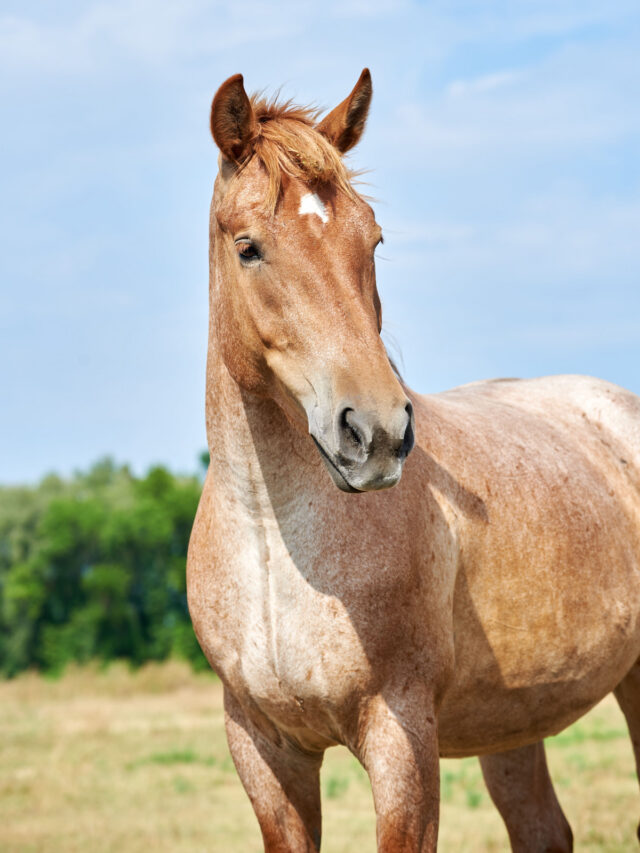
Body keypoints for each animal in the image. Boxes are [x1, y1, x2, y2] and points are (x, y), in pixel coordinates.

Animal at [187, 69, 640, 851]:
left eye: (372, 238)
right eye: (248, 247)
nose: (376, 431)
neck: (275, 545)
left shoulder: (399, 736)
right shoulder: (262, 745)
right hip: (512, 725)